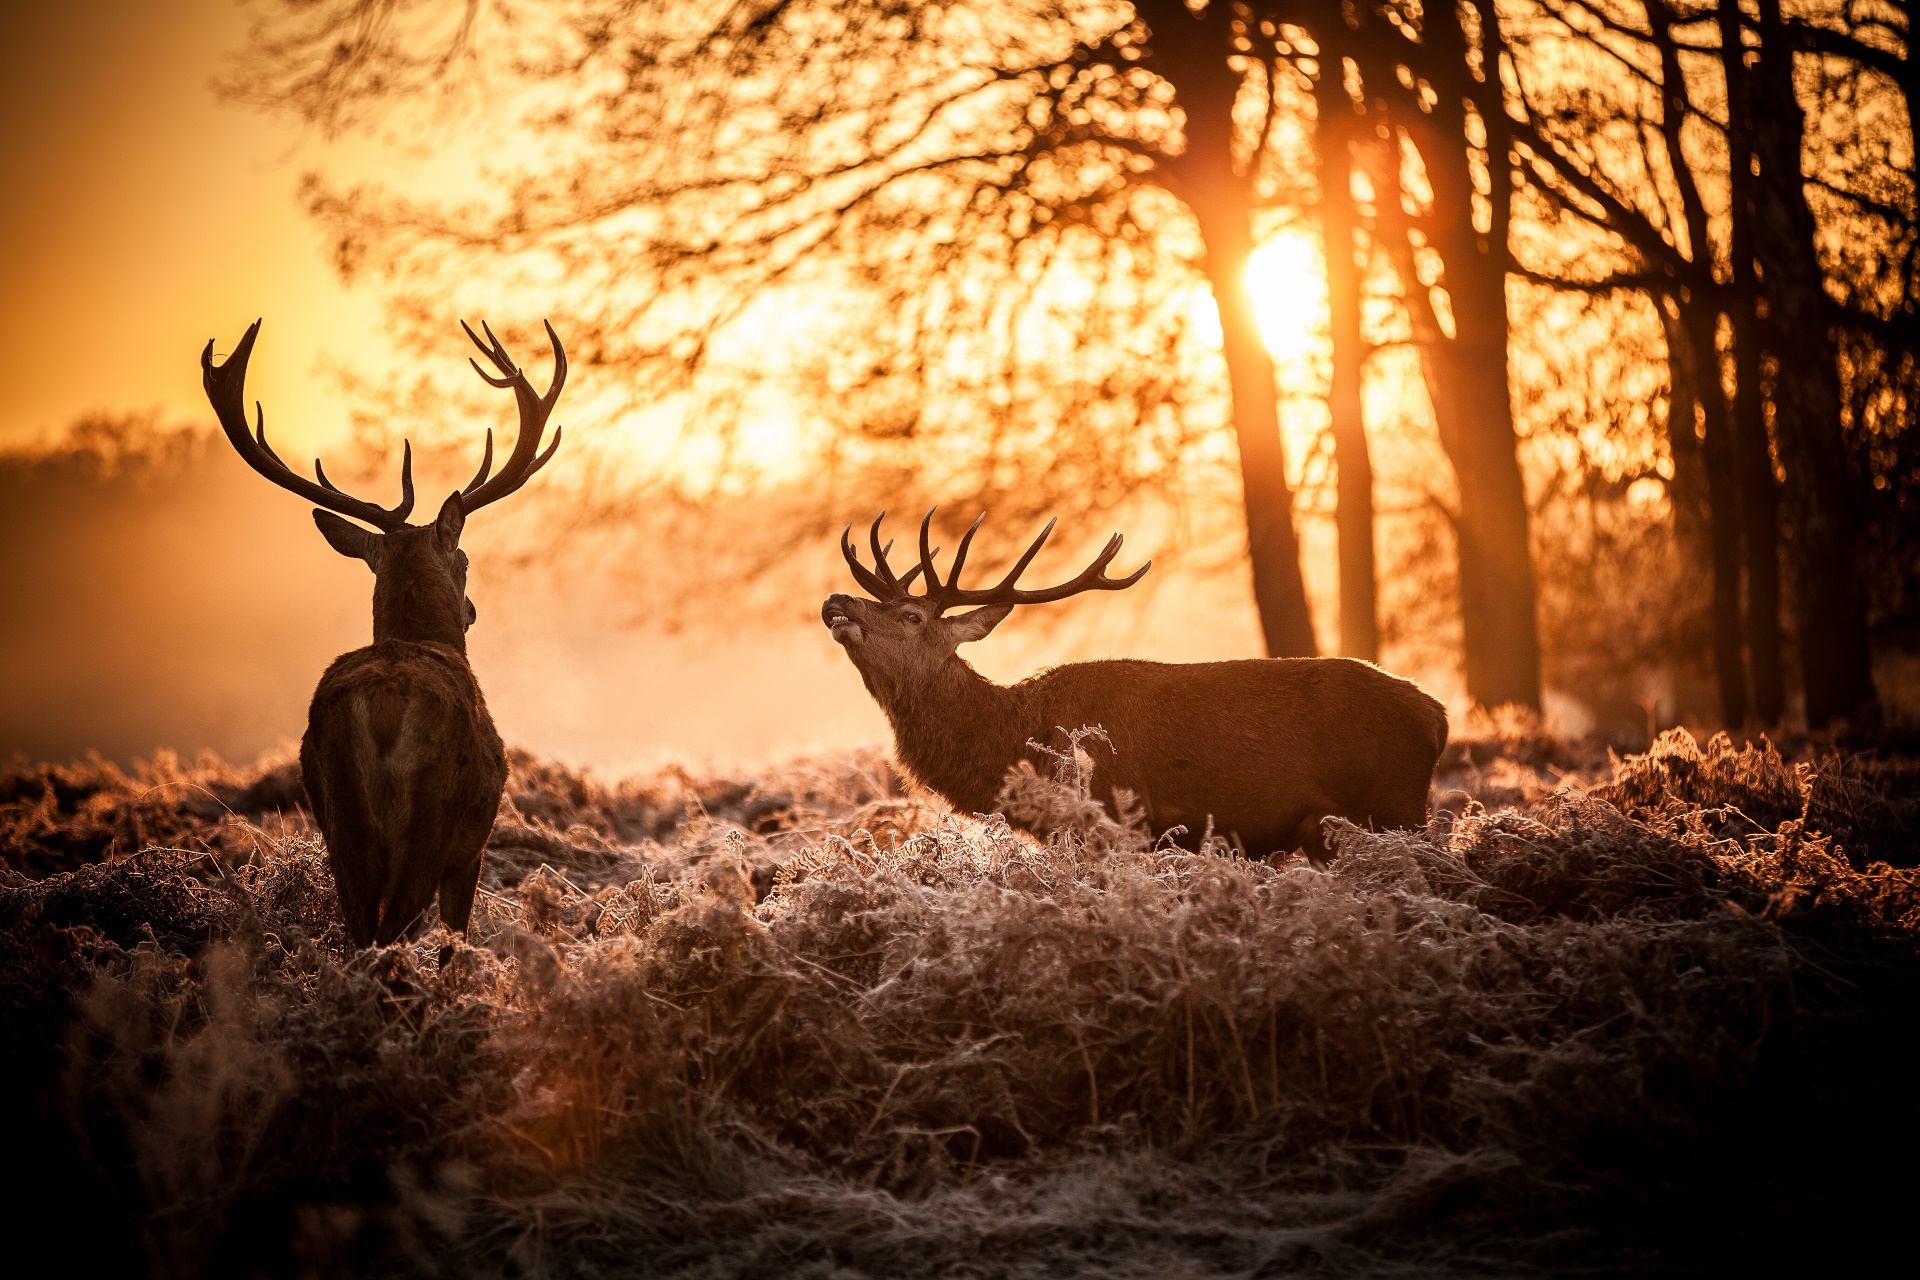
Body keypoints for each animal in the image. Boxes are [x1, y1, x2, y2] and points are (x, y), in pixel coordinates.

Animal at [202, 318, 566, 949]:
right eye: (465, 559)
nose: (471, 610)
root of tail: (383, 702)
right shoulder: (471, 847)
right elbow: (455, 941)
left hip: (338, 819)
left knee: (359, 932)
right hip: (431, 819)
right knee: (395, 928)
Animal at [822, 511, 1448, 864]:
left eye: (912, 617)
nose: (836, 600)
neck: (1016, 740)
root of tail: (1437, 716)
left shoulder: (1113, 817)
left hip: (1395, 805)